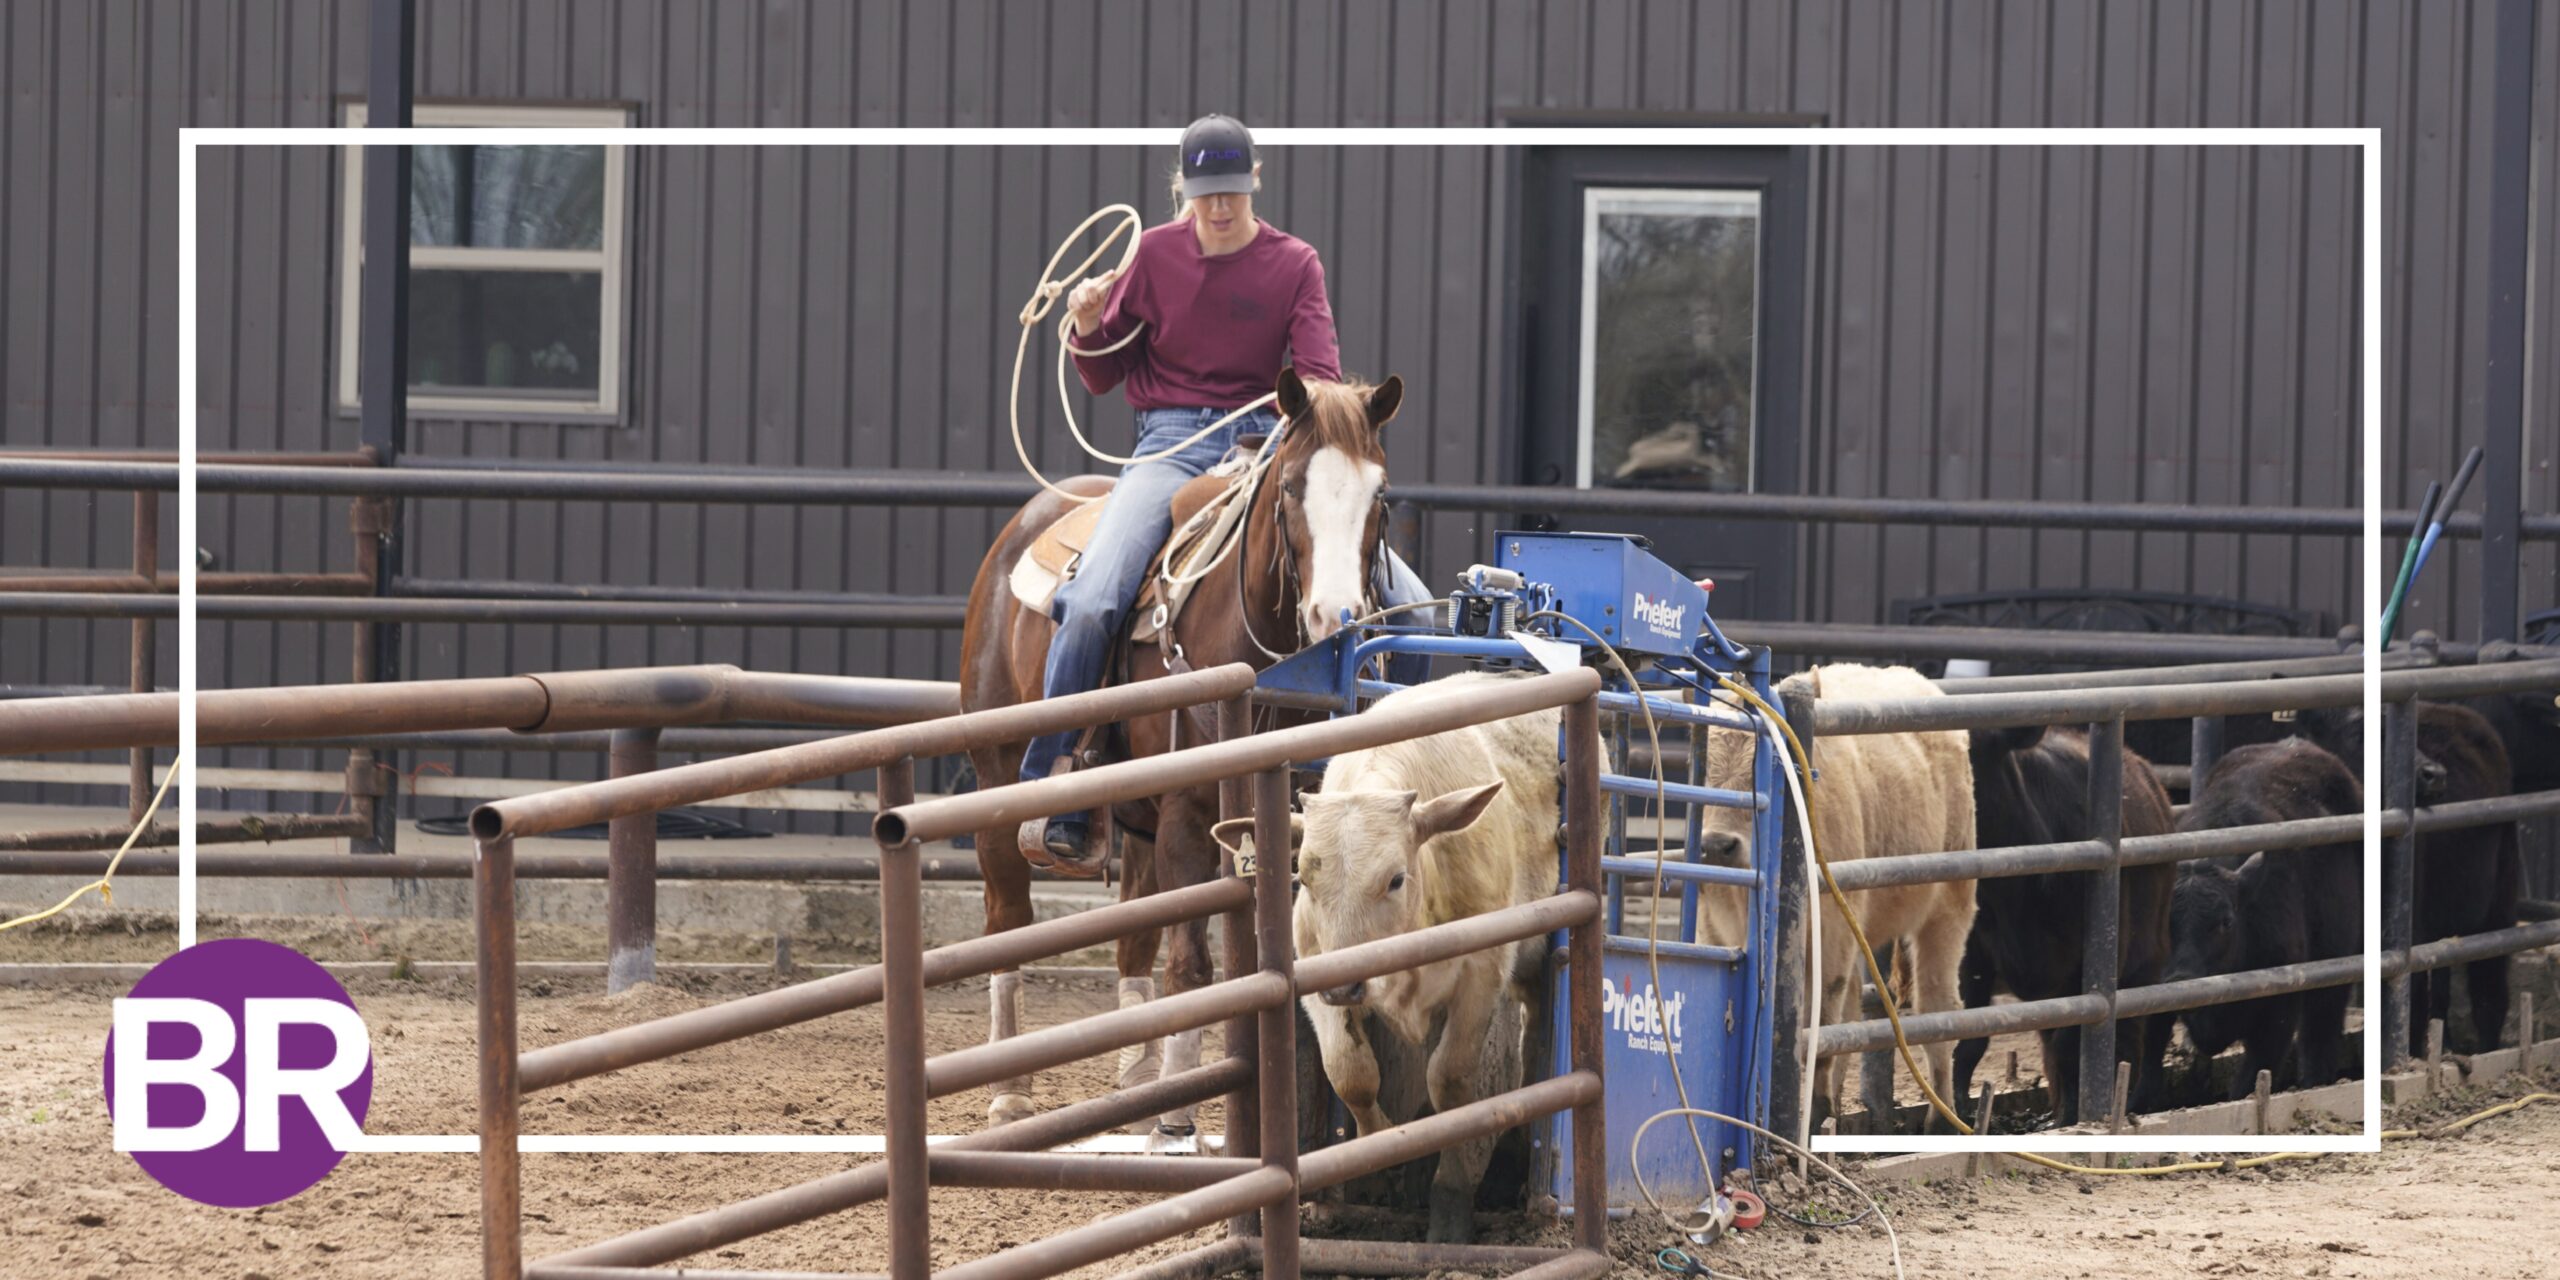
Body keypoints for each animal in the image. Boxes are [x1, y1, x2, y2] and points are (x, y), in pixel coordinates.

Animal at [957, 366, 1405, 1136]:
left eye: (1379, 493)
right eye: (1292, 486)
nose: (1335, 617)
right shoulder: (1190, 817)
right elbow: (1195, 965)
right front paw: (1183, 1113)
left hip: (1137, 820)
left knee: (1134, 934)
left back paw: (1138, 1081)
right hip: (1001, 780)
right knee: (1007, 918)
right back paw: (1011, 1089)